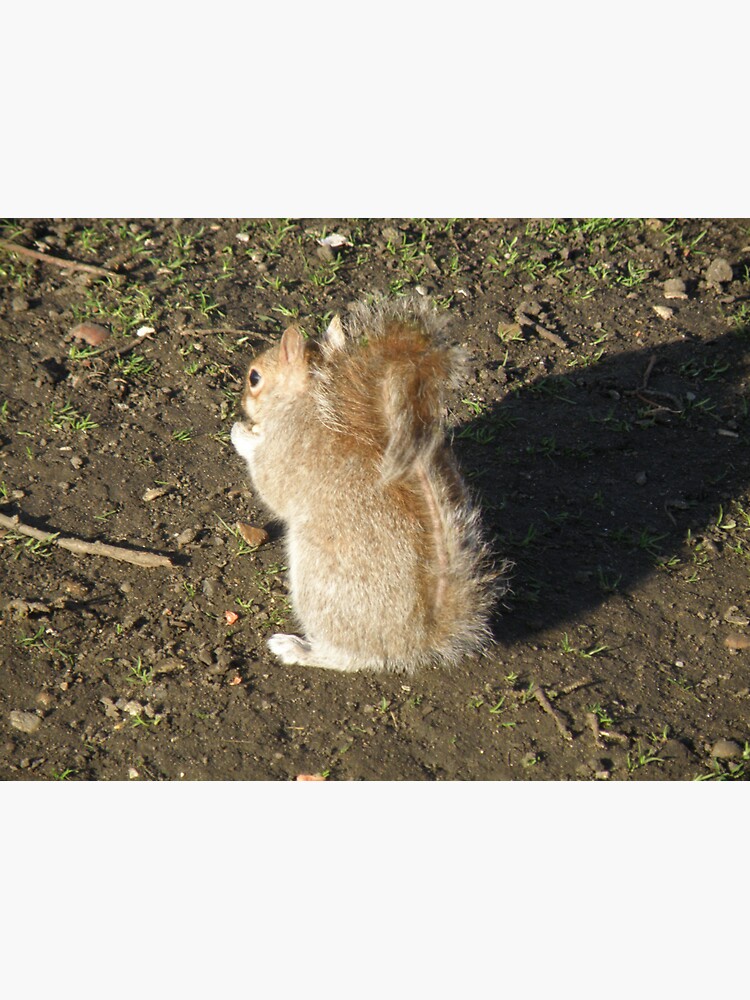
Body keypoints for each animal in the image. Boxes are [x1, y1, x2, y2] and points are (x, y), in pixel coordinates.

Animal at [230, 295, 506, 673]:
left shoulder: (285, 450)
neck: (305, 402)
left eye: (254, 377)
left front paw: (242, 434)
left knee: (349, 657)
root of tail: (415, 640)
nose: (242, 402)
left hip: (320, 587)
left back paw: (298, 649)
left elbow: (270, 483)